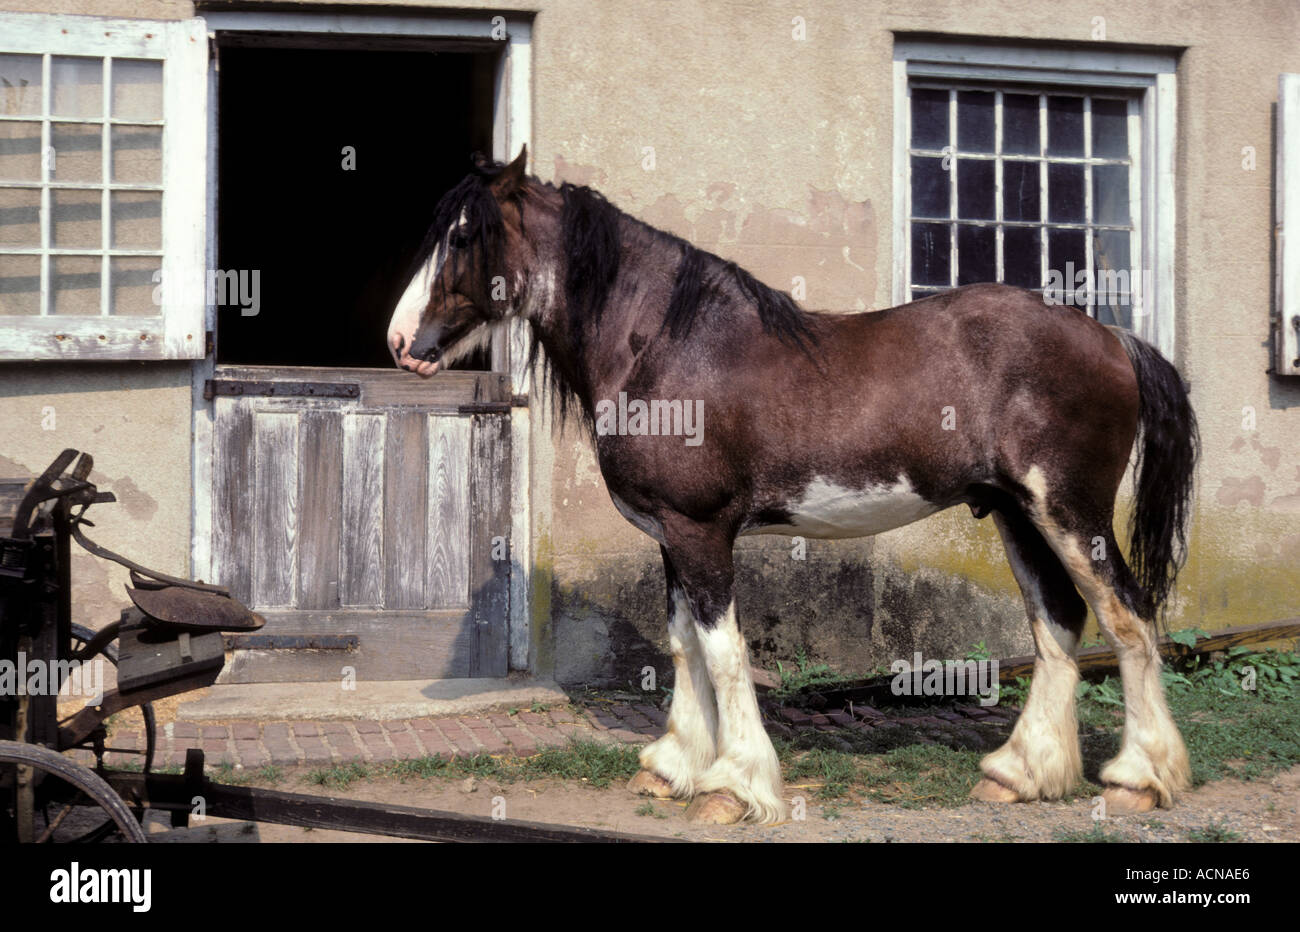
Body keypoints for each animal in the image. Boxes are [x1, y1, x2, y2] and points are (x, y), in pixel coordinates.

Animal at [386, 147, 1199, 825]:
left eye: (464, 237)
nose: (399, 342)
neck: (668, 345)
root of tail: (1112, 338)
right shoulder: (671, 535)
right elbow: (683, 645)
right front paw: (672, 768)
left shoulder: (701, 530)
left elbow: (723, 653)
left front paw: (734, 787)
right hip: (1016, 513)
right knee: (1058, 621)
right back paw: (1018, 773)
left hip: (1069, 512)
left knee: (1126, 619)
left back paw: (1137, 779)